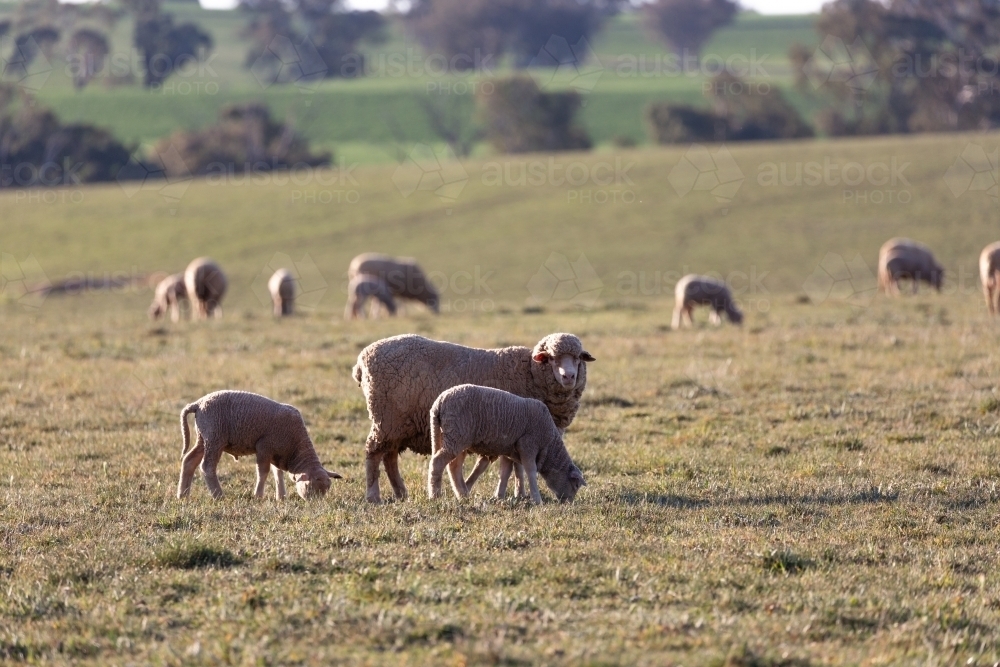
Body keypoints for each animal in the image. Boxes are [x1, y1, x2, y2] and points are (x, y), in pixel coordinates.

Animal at [177, 390, 342, 500]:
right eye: (309, 486)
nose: (315, 504)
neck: (295, 447)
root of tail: (198, 404)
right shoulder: (264, 447)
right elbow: (263, 472)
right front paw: (258, 496)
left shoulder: (276, 452)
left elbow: (278, 473)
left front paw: (281, 497)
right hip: (214, 438)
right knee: (207, 467)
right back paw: (219, 496)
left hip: (203, 437)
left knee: (189, 460)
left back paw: (183, 495)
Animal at [429, 385, 586, 504]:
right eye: (576, 485)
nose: (568, 503)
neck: (548, 443)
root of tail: (439, 402)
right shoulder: (528, 445)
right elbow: (530, 471)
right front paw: (537, 500)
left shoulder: (509, 449)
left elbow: (505, 472)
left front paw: (499, 496)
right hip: (456, 436)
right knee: (438, 462)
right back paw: (435, 495)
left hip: (456, 438)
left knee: (454, 466)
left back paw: (462, 495)